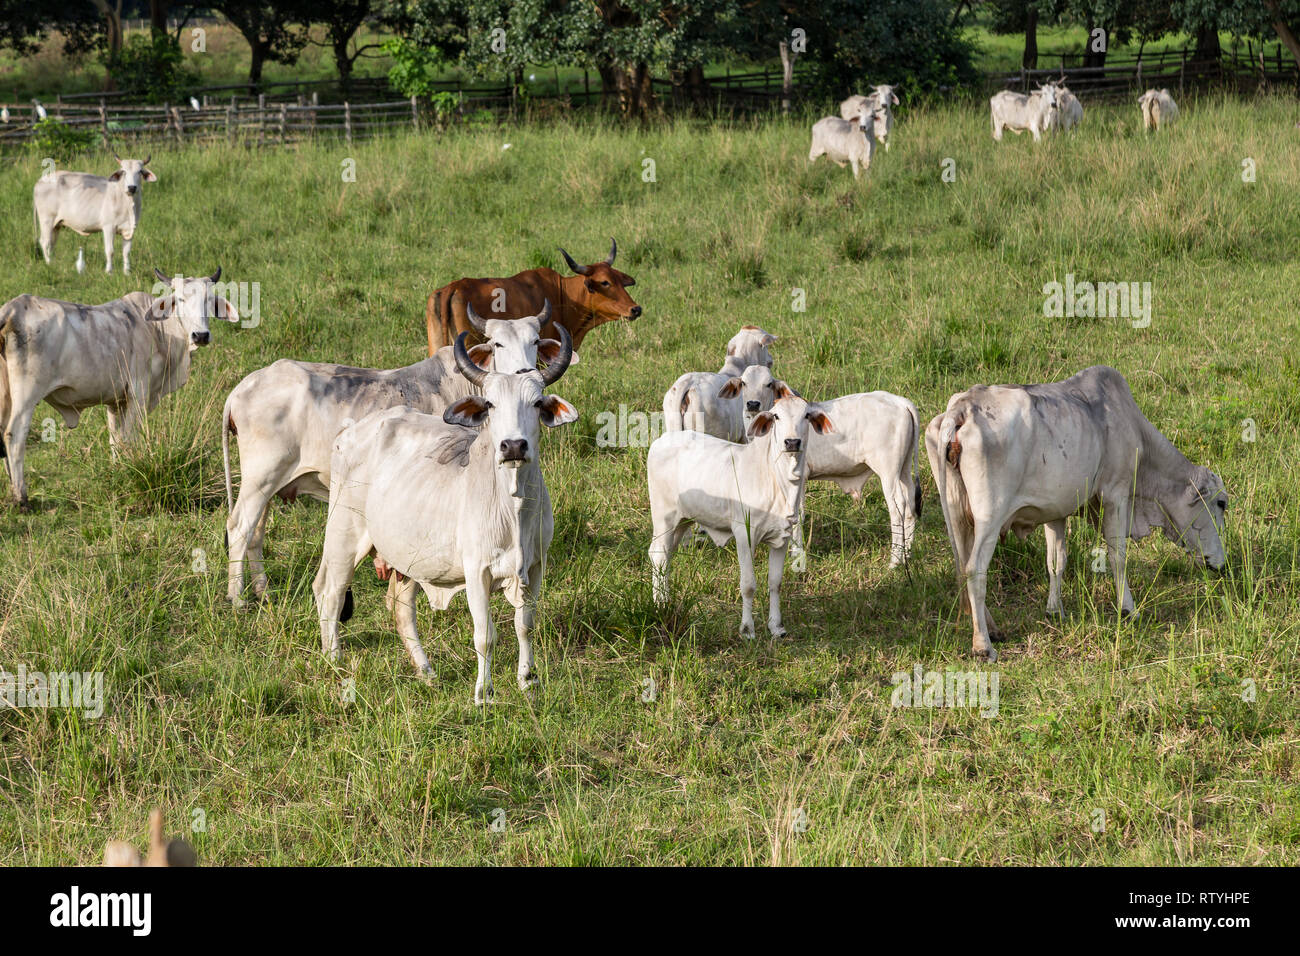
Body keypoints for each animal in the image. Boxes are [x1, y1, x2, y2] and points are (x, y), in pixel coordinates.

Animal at [0, 268, 235, 509]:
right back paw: (21, 497)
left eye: (209, 299)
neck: (157, 329)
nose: (201, 335)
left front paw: (118, 471)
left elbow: (116, 440)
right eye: (180, 299)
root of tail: (11, 309)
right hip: (26, 396)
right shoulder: (138, 395)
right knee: (14, 435)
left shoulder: (115, 401)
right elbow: (129, 439)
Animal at [223, 304, 560, 606]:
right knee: (239, 528)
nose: (524, 373)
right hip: (261, 477)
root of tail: (243, 387)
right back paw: (237, 598)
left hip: (271, 485)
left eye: (535, 341)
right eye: (497, 343)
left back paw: (263, 591)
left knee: (256, 533)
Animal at [312, 327, 578, 704]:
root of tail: (354, 430)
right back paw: (333, 657)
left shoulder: (536, 566)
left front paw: (528, 681)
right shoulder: (477, 571)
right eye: (490, 404)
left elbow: (524, 626)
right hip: (344, 535)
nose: (513, 446)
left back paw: (425, 671)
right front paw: (484, 693)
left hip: (405, 558)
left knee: (400, 607)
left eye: (538, 403)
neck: (512, 507)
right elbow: (485, 635)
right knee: (329, 591)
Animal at [648, 394, 834, 639]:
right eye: (776, 416)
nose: (792, 442)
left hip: (682, 520)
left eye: (806, 415)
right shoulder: (744, 535)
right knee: (658, 555)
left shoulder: (782, 537)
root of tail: (662, 441)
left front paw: (776, 627)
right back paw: (659, 605)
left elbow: (775, 582)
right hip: (664, 518)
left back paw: (665, 601)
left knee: (667, 557)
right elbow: (748, 584)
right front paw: (747, 630)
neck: (776, 478)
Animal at [925, 366, 1228, 662]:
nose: (1221, 565)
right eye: (1221, 503)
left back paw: (994, 629)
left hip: (956, 514)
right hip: (989, 516)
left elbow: (1055, 562)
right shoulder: (1116, 494)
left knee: (962, 567)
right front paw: (1128, 609)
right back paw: (983, 646)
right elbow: (1118, 557)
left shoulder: (1054, 511)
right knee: (975, 569)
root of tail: (962, 407)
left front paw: (1054, 610)